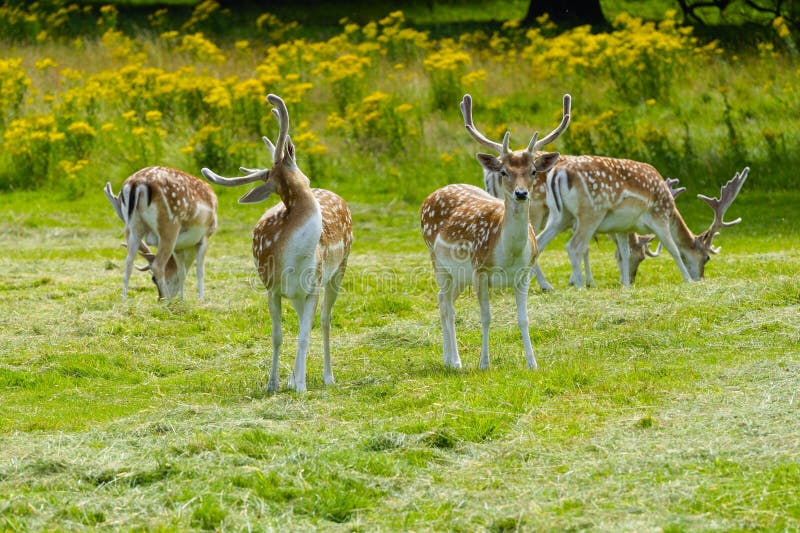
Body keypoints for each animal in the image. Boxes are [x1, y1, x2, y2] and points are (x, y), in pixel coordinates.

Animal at [103, 166, 217, 300]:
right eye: (152, 279)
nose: (159, 298)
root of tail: (136, 183)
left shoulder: (178, 247)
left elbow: (182, 272)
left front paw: (182, 300)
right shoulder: (205, 236)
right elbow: (200, 271)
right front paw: (200, 300)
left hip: (132, 227)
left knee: (128, 263)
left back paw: (124, 300)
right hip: (169, 227)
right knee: (158, 264)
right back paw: (167, 300)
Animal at [200, 94, 352, 393]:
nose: (309, 180)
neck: (292, 255)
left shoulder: (313, 284)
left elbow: (304, 335)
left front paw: (301, 386)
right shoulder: (272, 288)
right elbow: (278, 335)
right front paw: (274, 383)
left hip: (338, 269)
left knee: (325, 320)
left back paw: (328, 377)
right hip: (296, 293)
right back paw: (294, 377)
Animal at [420, 94, 568, 371]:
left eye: (533, 171)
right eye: (504, 171)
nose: (521, 193)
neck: (508, 255)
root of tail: (431, 195)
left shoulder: (523, 275)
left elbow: (524, 319)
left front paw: (532, 363)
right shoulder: (480, 271)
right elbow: (486, 317)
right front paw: (483, 363)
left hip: (459, 274)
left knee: (445, 300)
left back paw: (449, 359)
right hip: (438, 262)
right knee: (445, 303)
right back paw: (455, 361)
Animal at [537, 157, 748, 287]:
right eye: (707, 258)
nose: (700, 279)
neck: (672, 211)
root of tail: (557, 173)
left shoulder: (622, 227)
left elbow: (623, 253)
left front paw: (625, 285)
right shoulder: (659, 217)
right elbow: (673, 249)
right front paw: (687, 279)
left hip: (559, 216)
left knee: (538, 242)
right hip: (590, 212)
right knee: (574, 246)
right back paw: (580, 285)